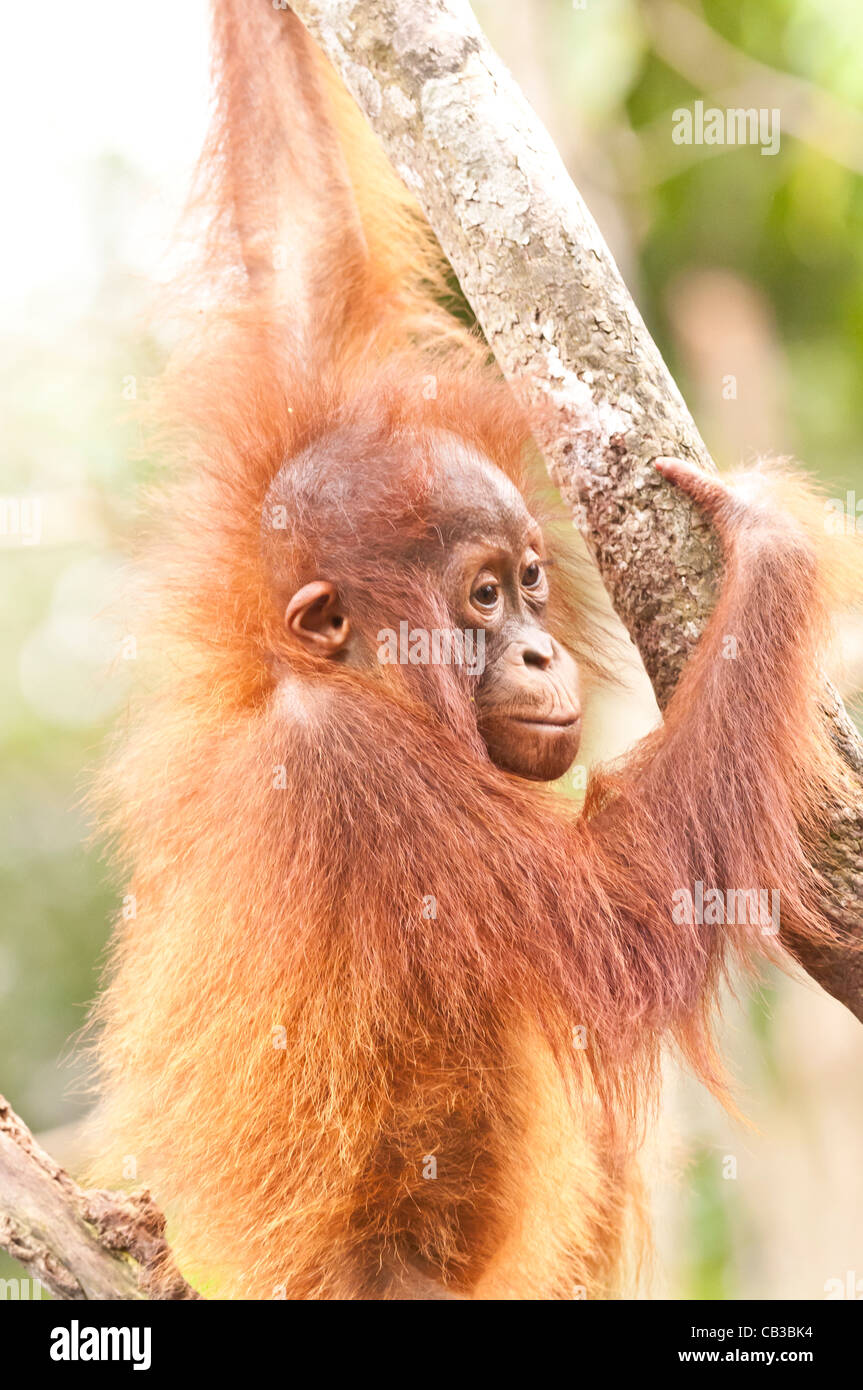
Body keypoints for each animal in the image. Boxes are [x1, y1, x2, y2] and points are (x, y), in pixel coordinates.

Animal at [86, 2, 858, 1299]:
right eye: (483, 596)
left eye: (532, 583)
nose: (542, 654)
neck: (338, 680)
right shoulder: (354, 771)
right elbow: (621, 918)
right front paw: (772, 544)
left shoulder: (248, 579)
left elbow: (299, 244)